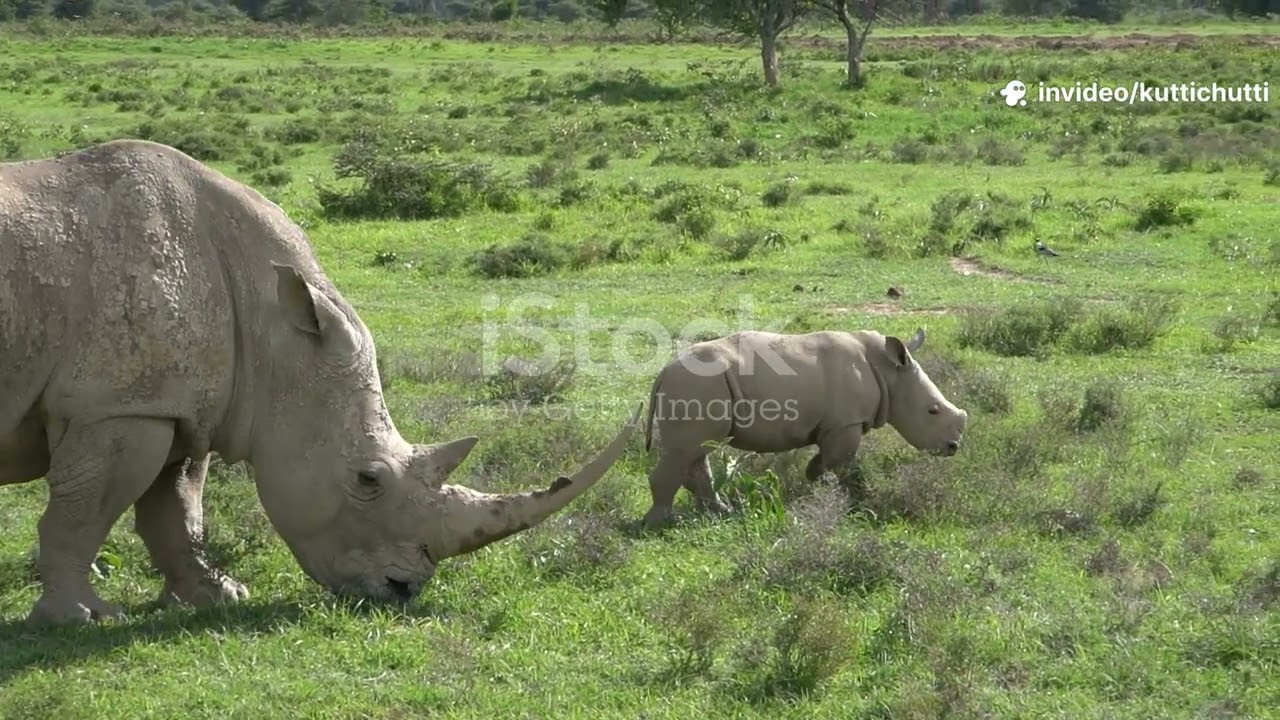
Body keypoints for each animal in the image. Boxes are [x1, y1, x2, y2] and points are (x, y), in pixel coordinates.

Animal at [0, 139, 640, 626]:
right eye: (367, 479)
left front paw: (219, 596)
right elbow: (83, 512)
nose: (402, 590)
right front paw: (80, 619)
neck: (270, 331)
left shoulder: (172, 401)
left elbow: (176, 509)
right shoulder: (115, 406)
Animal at [640, 327, 968, 528]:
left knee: (697, 451)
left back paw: (719, 512)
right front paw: (842, 495)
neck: (890, 374)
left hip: (702, 386)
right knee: (686, 452)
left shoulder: (836, 424)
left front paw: (813, 475)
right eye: (933, 411)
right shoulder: (845, 423)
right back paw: (661, 522)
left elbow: (831, 460)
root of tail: (663, 373)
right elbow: (841, 463)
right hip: (698, 385)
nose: (953, 448)